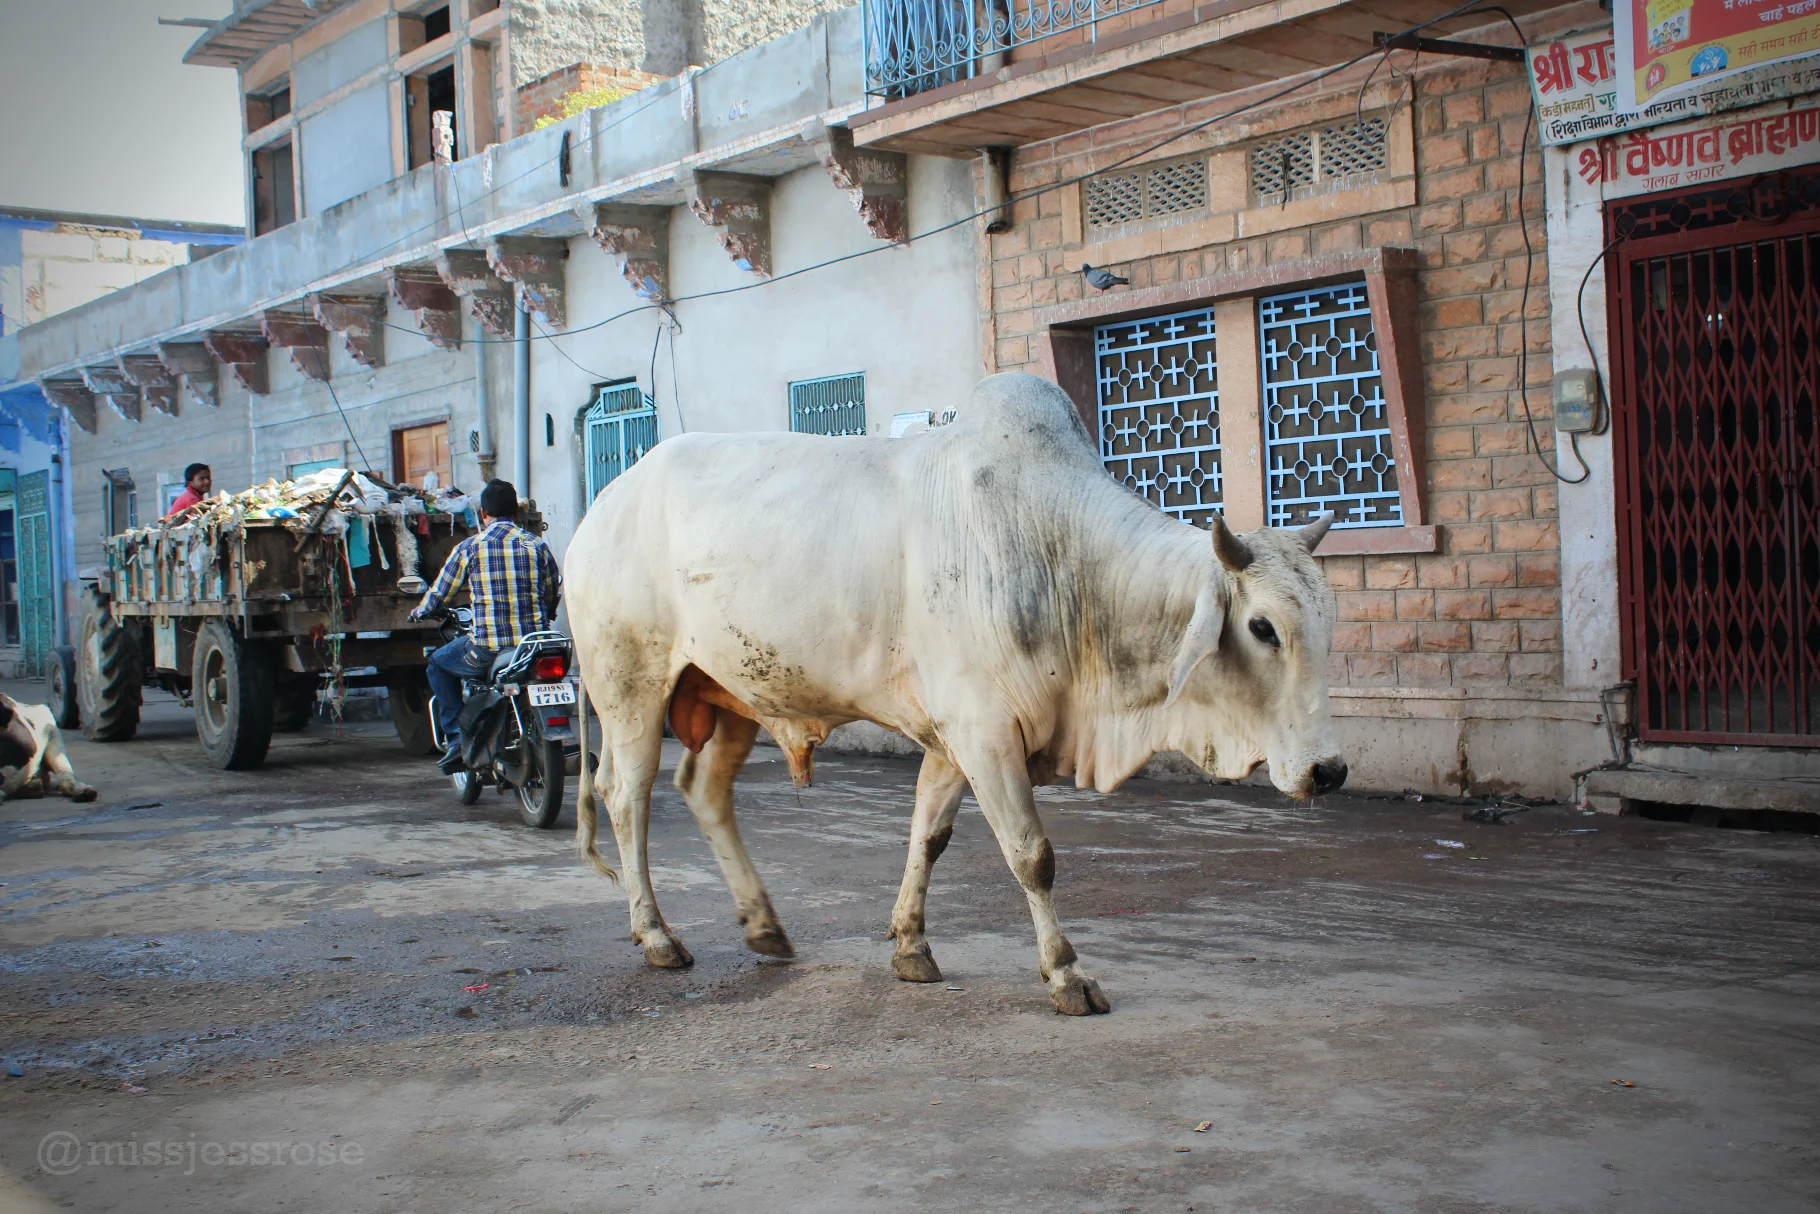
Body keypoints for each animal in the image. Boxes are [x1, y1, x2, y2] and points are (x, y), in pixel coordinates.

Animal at [565, 372, 1344, 1015]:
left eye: (1325, 621)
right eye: (1263, 628)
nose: (1329, 770)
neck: (1061, 558)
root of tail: (601, 508)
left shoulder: (953, 740)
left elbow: (929, 836)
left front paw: (912, 945)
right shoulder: (983, 732)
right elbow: (1032, 854)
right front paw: (1066, 974)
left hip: (738, 693)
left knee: (703, 790)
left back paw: (765, 926)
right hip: (630, 687)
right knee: (627, 796)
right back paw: (657, 935)